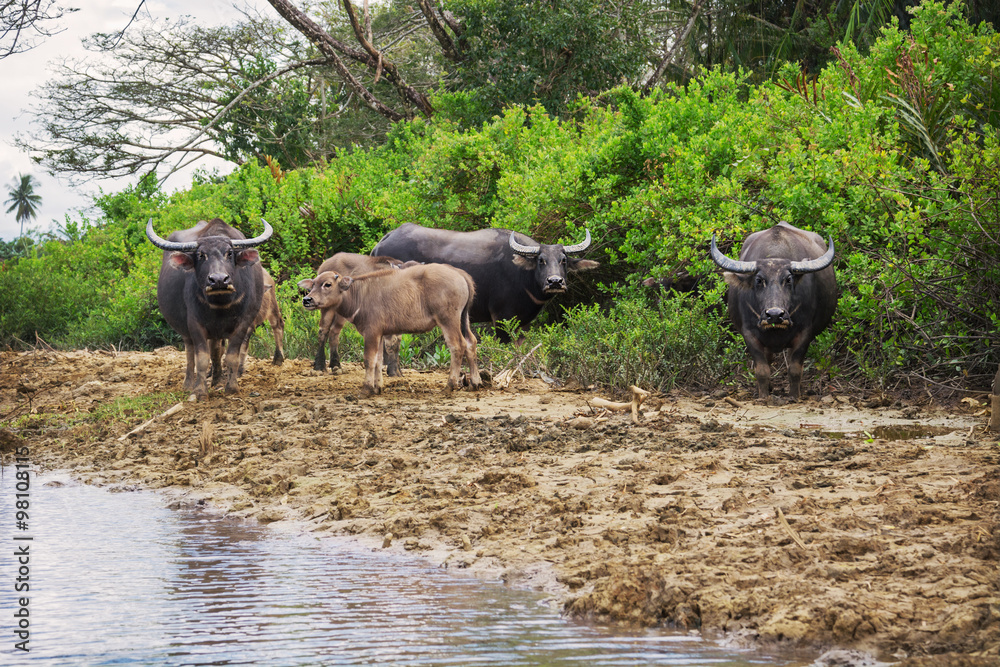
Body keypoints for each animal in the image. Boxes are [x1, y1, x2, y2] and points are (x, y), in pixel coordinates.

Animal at [145, 218, 273, 400]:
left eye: (229, 253)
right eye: (200, 255)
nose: (218, 280)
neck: (221, 303)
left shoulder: (244, 324)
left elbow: (231, 356)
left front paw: (231, 387)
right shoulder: (195, 324)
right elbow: (202, 358)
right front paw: (199, 391)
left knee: (216, 350)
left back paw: (217, 379)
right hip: (186, 331)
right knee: (190, 352)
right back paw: (188, 383)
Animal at [298, 263, 482, 397]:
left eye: (327, 284)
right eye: (313, 284)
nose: (307, 300)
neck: (359, 296)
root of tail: (459, 273)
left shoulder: (371, 332)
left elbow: (369, 360)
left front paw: (366, 389)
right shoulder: (379, 334)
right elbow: (379, 360)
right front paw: (377, 387)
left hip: (448, 320)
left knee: (457, 346)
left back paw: (449, 386)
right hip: (464, 318)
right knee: (471, 342)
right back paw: (475, 383)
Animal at [370, 223, 599, 339]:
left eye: (563, 260)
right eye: (541, 260)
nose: (555, 282)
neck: (523, 277)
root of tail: (382, 242)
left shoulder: (522, 324)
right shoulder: (501, 319)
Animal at [710, 221, 837, 401]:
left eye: (788, 279)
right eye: (759, 280)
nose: (775, 314)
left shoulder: (805, 333)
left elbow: (795, 369)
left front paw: (794, 396)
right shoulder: (749, 333)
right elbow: (762, 370)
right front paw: (763, 396)